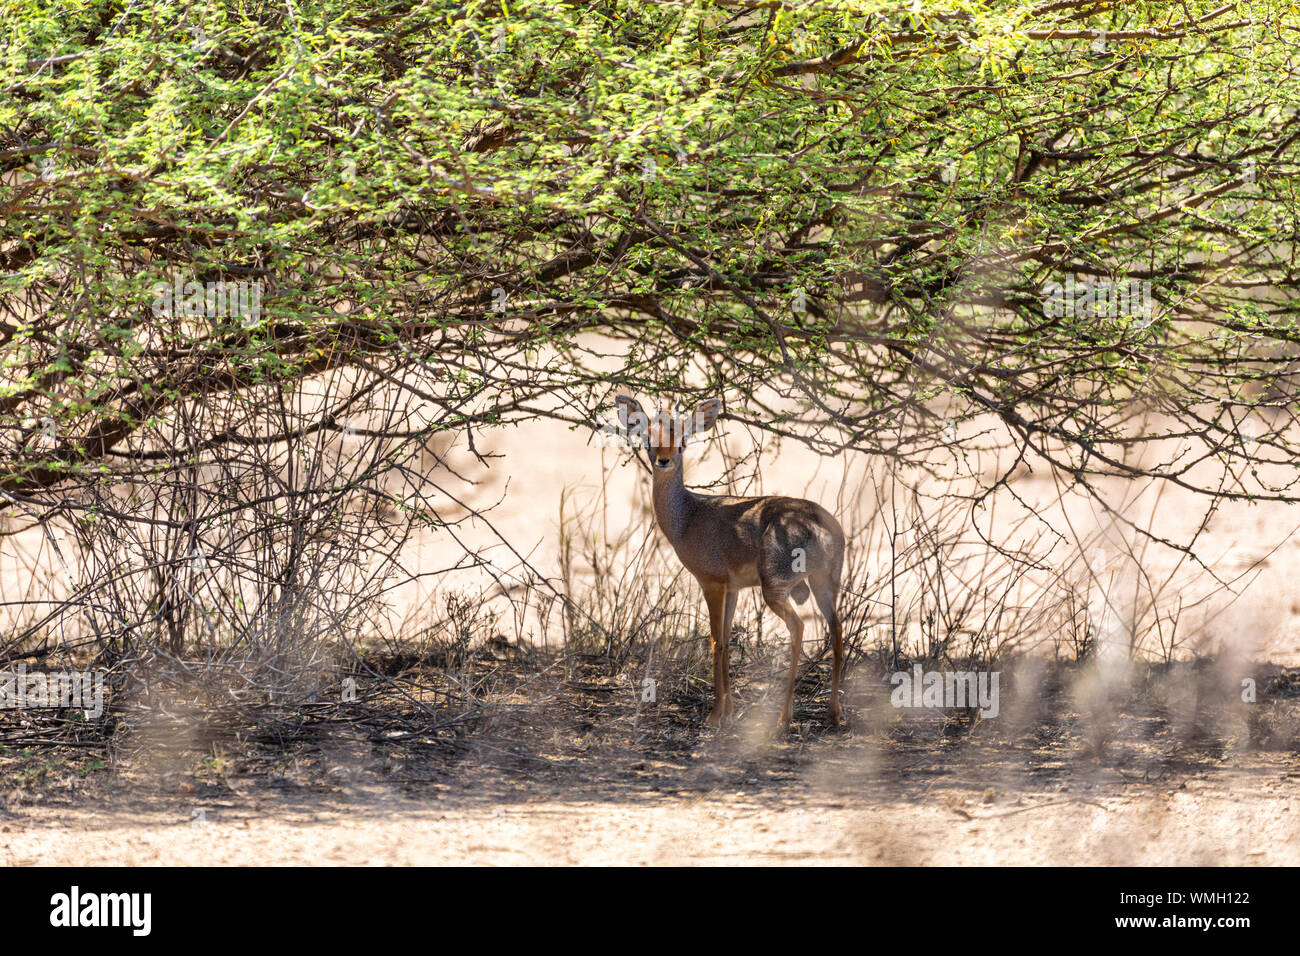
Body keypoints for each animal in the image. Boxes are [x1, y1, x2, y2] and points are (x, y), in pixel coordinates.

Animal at [614, 395, 846, 729]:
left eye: (682, 441)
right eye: (647, 439)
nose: (664, 461)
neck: (688, 518)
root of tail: (820, 525)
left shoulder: (711, 582)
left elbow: (716, 642)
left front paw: (715, 714)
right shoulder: (733, 588)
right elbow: (725, 639)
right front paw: (730, 709)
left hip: (775, 589)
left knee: (799, 627)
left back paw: (784, 717)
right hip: (824, 584)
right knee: (837, 629)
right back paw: (833, 714)